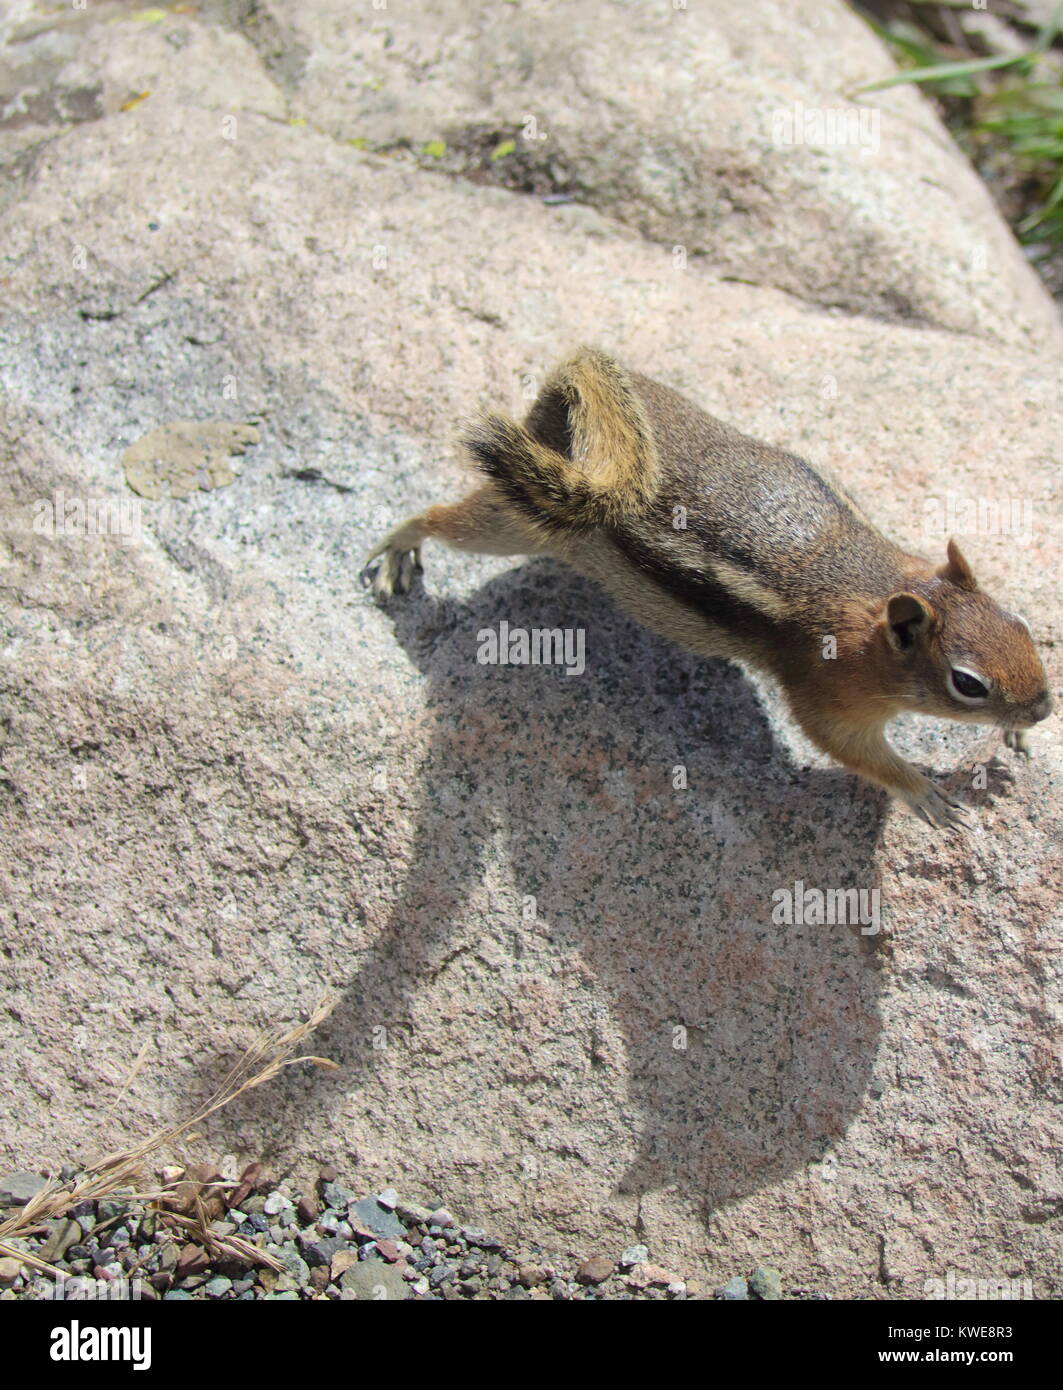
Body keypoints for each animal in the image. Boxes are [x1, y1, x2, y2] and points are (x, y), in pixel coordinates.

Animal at [365, 347, 1052, 828]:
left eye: (1021, 624)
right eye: (967, 684)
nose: (1044, 708)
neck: (878, 589)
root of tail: (577, 384)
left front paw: (1014, 737)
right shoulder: (828, 694)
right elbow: (849, 750)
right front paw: (925, 792)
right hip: (526, 519)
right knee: (446, 519)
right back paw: (398, 545)